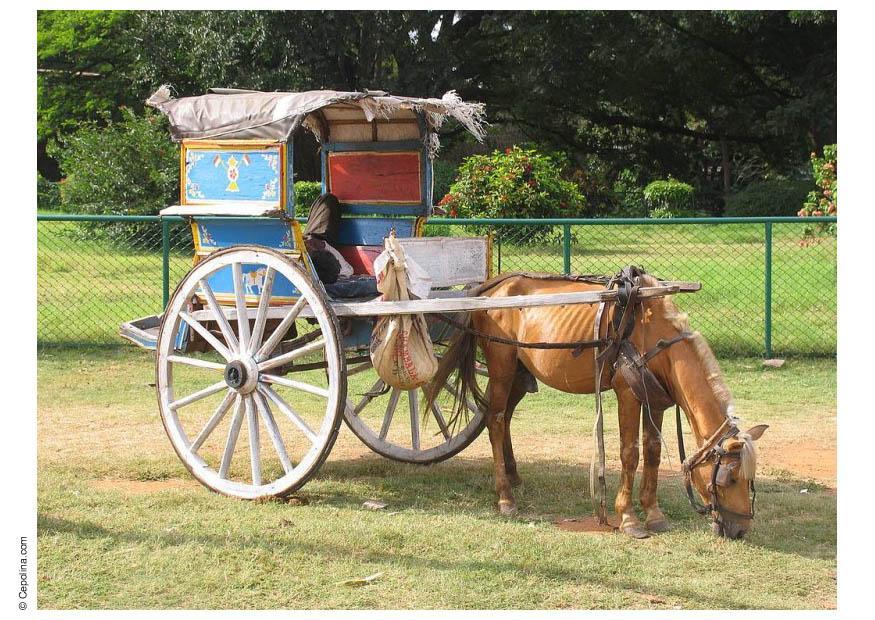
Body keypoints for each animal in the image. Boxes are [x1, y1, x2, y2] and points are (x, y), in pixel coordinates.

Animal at [426, 269, 768, 539]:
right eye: (728, 478)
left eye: (749, 480)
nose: (740, 530)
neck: (654, 333)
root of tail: (492, 288)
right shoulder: (628, 394)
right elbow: (630, 453)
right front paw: (629, 518)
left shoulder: (656, 401)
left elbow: (653, 451)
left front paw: (654, 513)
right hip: (502, 367)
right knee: (496, 420)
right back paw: (505, 498)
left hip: (521, 373)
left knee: (505, 417)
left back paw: (513, 476)